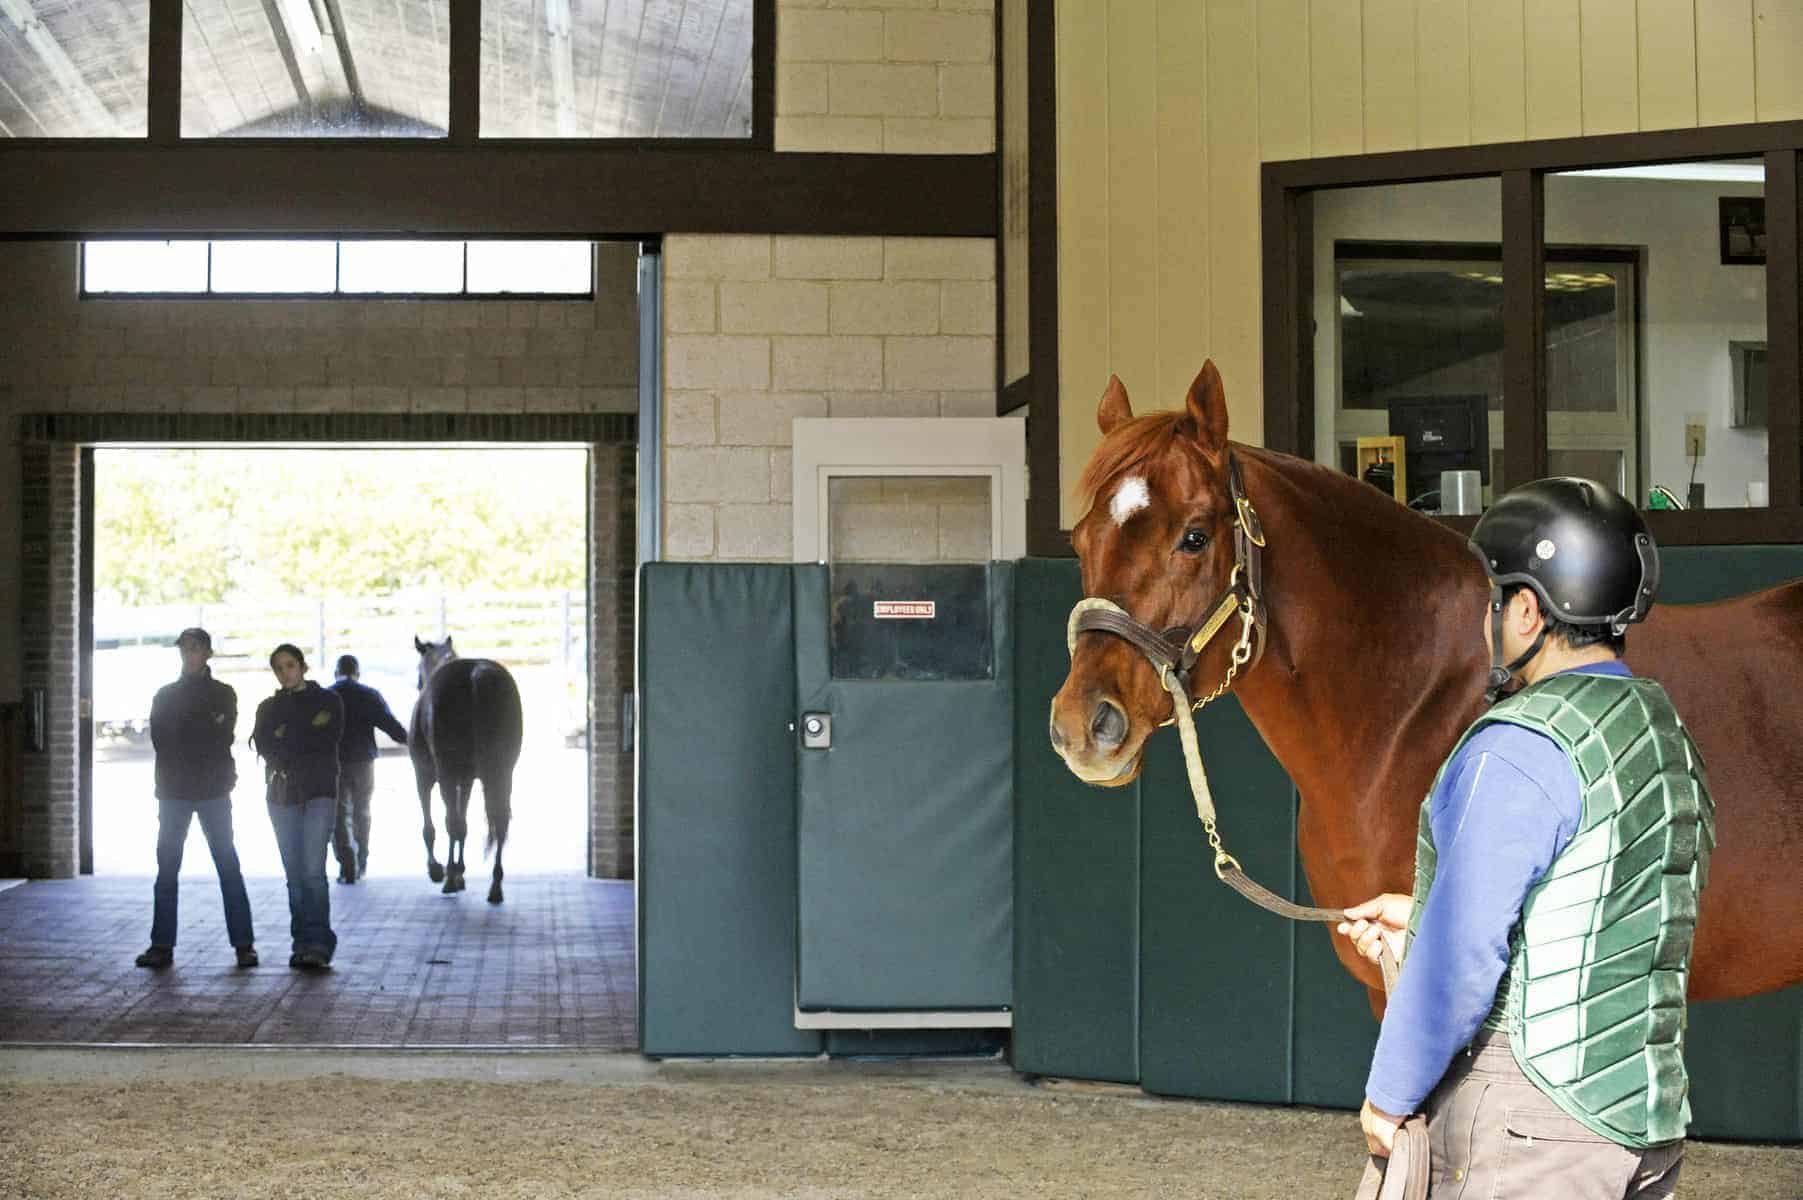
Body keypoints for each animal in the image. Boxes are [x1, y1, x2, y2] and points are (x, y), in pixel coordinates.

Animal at [410, 636, 524, 904]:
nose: (418, 685)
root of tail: (476, 675)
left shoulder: (424, 776)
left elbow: (432, 826)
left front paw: (439, 870)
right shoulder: (467, 780)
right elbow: (463, 825)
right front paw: (459, 872)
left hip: (447, 775)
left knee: (451, 822)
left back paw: (450, 879)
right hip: (502, 773)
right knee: (499, 823)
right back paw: (495, 885)